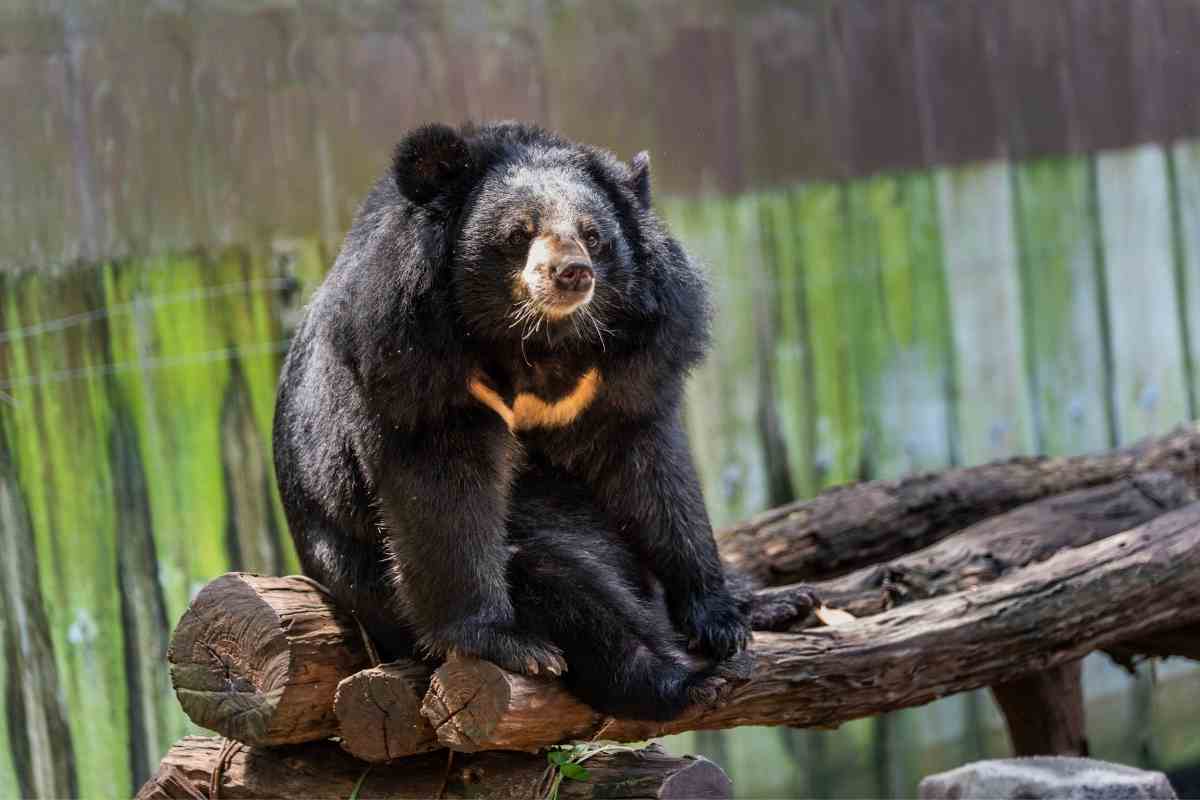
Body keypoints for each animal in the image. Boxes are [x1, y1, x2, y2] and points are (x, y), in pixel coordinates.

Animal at [272, 121, 752, 721]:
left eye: (595, 236)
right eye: (520, 233)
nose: (572, 274)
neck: (534, 341)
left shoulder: (628, 366)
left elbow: (655, 474)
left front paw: (722, 618)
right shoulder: (411, 360)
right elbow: (442, 497)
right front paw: (500, 641)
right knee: (561, 582)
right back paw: (681, 682)